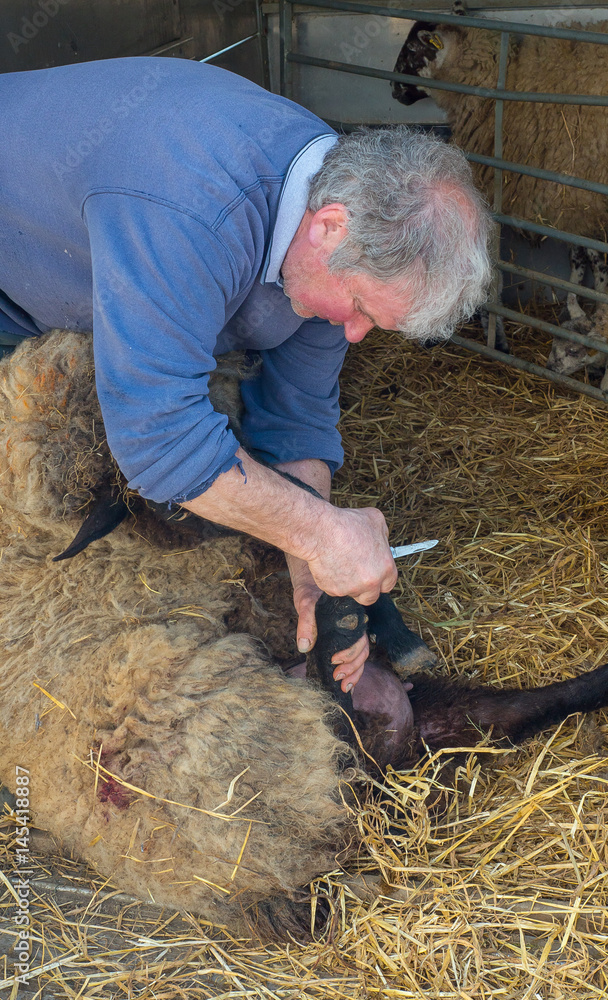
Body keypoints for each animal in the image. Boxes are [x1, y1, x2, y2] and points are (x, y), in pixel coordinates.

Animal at [3, 330, 608, 940]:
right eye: (168, 501)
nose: (248, 358)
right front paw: (363, 606)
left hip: (418, 728)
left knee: (501, 712)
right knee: (352, 721)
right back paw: (345, 634)